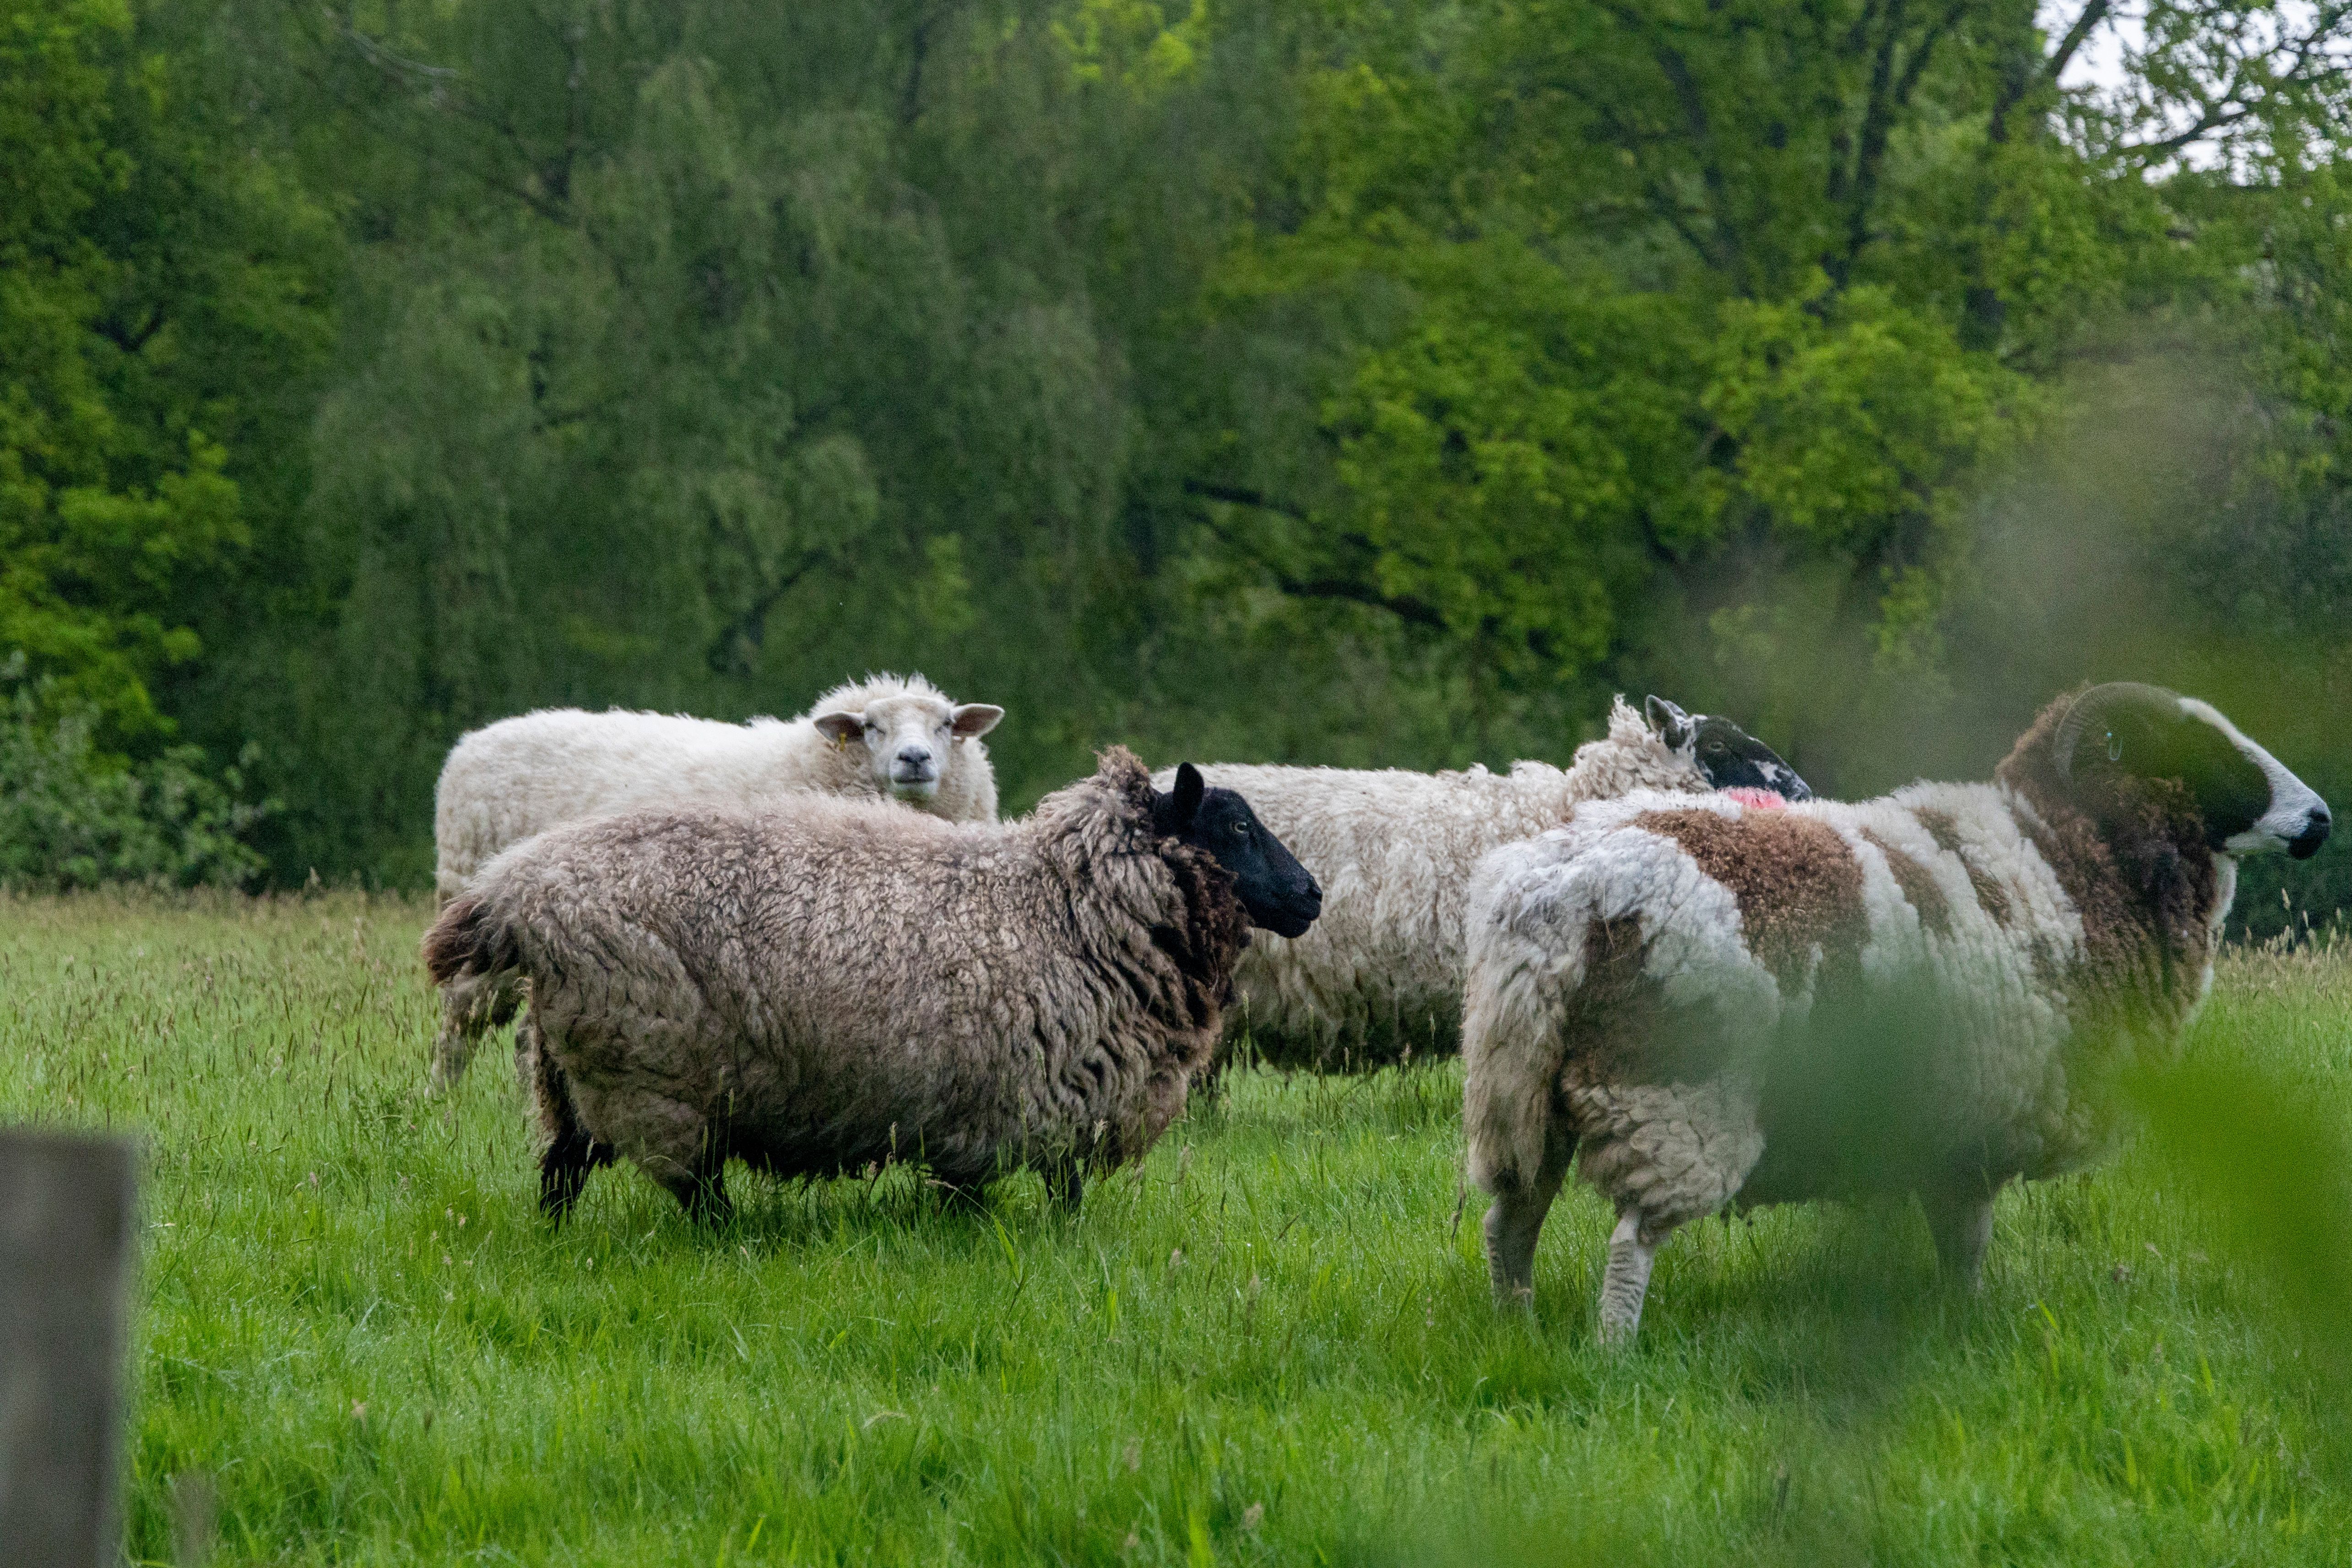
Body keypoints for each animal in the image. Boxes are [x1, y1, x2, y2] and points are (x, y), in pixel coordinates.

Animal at [420, 748, 1323, 1222]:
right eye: (1235, 825)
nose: (1312, 895)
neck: (1069, 904)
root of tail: (514, 888)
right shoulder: (1051, 1094)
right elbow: (1056, 1198)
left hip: (568, 1066)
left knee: (560, 1172)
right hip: (653, 1069)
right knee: (691, 1188)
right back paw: (732, 1240)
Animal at [426, 672, 1003, 1088]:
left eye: (946, 724)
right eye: (871, 726)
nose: (915, 758)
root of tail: (469, 744)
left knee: (527, 1037)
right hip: (478, 923)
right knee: (458, 1029)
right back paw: (443, 1104)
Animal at [1461, 683, 2331, 1340]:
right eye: (2192, 750)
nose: (2320, 818)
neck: (2067, 866)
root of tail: (1558, 894)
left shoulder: (1943, 1129)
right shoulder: (1976, 1125)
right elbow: (1966, 1244)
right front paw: (1967, 1325)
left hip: (1526, 1088)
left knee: (1510, 1221)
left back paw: (1516, 1329)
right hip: (1675, 1097)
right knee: (1629, 1243)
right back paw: (1613, 1351)